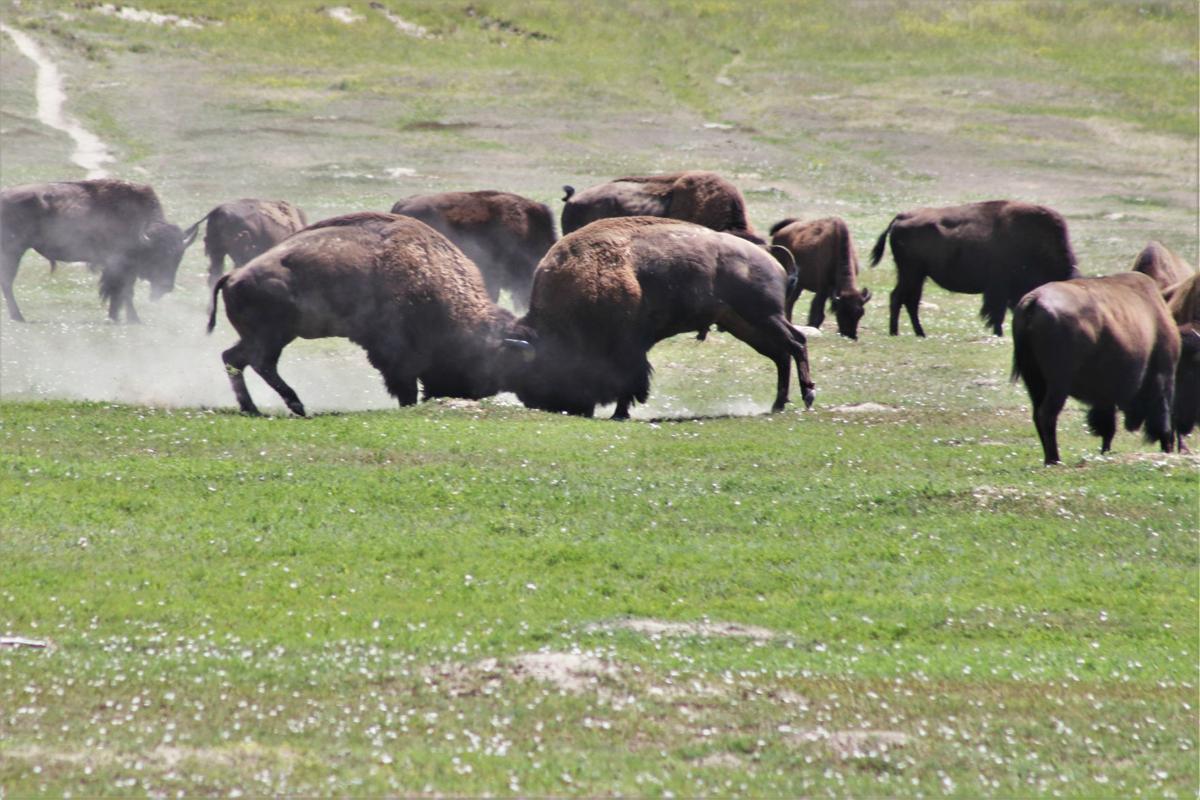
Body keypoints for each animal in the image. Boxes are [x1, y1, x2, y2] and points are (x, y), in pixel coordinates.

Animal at [0, 179, 197, 322]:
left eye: (178, 257)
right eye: (156, 256)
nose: (166, 286)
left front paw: (116, 316)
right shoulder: (121, 267)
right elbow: (123, 292)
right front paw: (132, 319)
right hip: (13, 251)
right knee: (7, 282)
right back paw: (19, 317)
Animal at [207, 212, 516, 416]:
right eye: (486, 359)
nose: (471, 393)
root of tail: (234, 276)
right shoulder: (395, 353)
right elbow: (404, 383)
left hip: (267, 337)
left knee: (235, 359)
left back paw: (255, 408)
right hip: (274, 336)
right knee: (258, 363)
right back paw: (293, 406)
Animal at [501, 216, 815, 419]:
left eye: (540, 370)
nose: (548, 406)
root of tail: (767, 253)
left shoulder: (628, 349)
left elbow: (630, 380)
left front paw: (620, 413)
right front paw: (621, 412)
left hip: (765, 316)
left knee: (796, 343)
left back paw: (808, 396)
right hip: (744, 324)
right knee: (780, 354)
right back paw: (777, 405)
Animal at [870, 200, 1079, 337]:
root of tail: (901, 217)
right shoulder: (999, 289)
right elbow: (996, 313)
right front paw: (998, 333)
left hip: (916, 275)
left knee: (909, 300)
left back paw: (919, 333)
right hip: (911, 273)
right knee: (900, 298)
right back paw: (897, 332)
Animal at [1011, 272, 1180, 465]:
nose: (1170, 446)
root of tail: (1034, 300)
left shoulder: (1105, 395)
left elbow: (1107, 426)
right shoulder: (1163, 374)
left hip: (1034, 381)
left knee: (1038, 414)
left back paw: (1050, 458)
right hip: (1058, 384)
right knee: (1047, 414)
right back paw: (1054, 459)